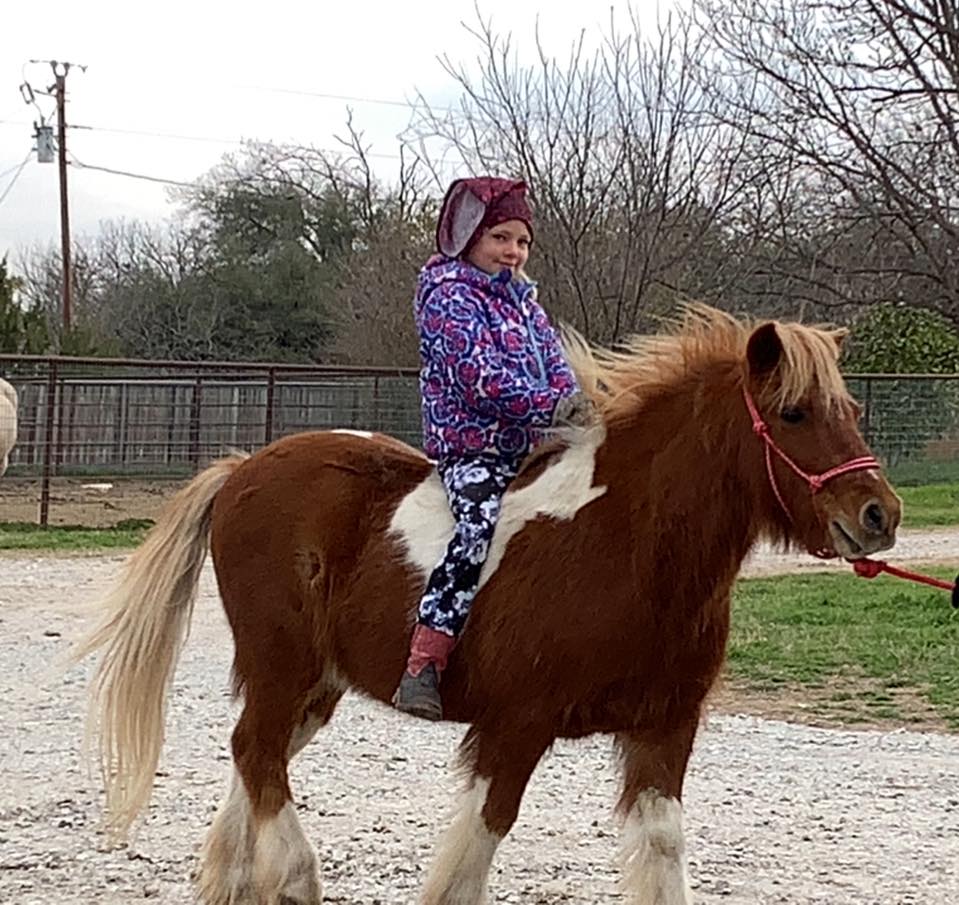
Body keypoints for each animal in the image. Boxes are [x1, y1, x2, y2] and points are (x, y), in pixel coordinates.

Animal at [74, 305, 901, 905]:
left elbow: (661, 854)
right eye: (792, 412)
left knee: (257, 754)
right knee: (256, 751)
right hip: (282, 665)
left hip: (316, 684)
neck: (623, 544)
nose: (877, 514)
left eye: (852, 407)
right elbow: (467, 866)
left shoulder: (662, 732)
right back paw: (295, 878)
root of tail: (245, 468)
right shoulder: (512, 729)